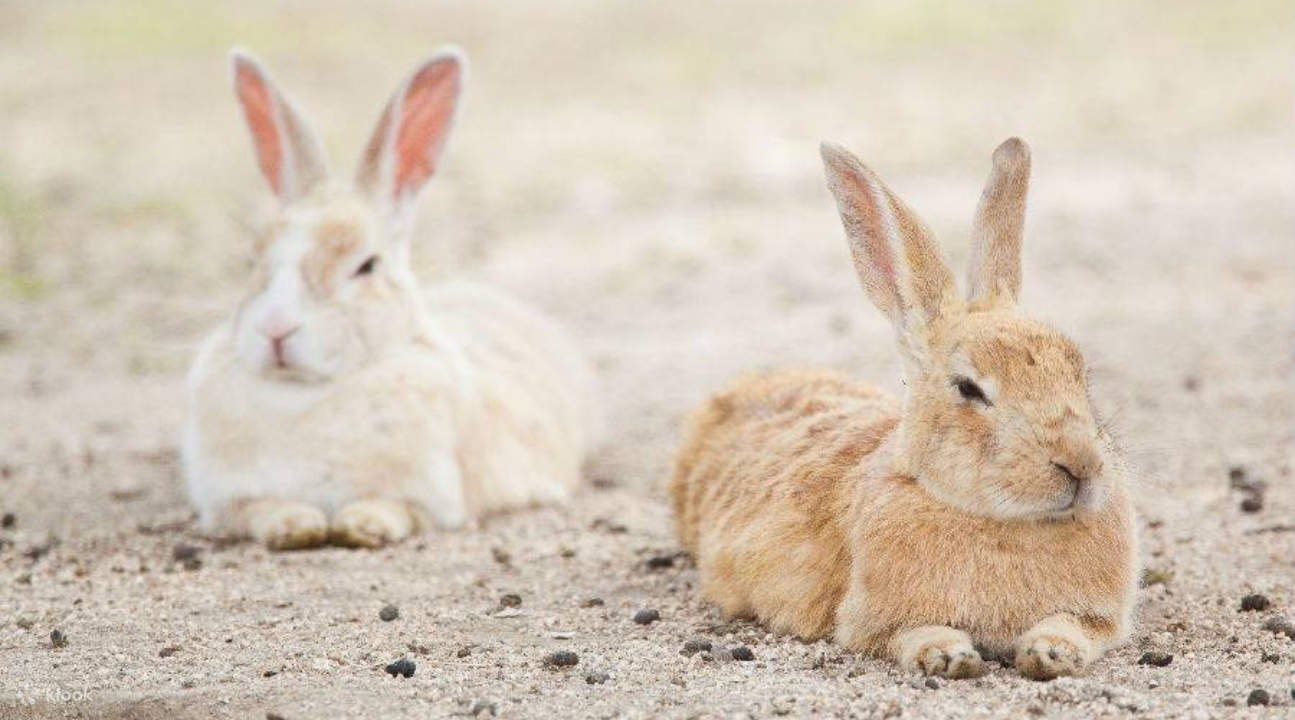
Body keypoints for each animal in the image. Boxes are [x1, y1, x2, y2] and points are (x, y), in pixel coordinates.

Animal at [182, 48, 594, 550]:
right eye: (253, 259)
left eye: (366, 266)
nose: (276, 329)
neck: (309, 391)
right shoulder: (228, 501)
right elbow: (262, 510)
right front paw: (296, 527)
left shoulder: (429, 496)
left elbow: (392, 509)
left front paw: (360, 526)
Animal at [670, 138, 1138, 680]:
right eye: (969, 388)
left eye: (1079, 372)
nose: (1080, 465)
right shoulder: (872, 621)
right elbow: (910, 633)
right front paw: (949, 656)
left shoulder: (1099, 618)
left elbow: (1074, 627)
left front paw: (1049, 653)